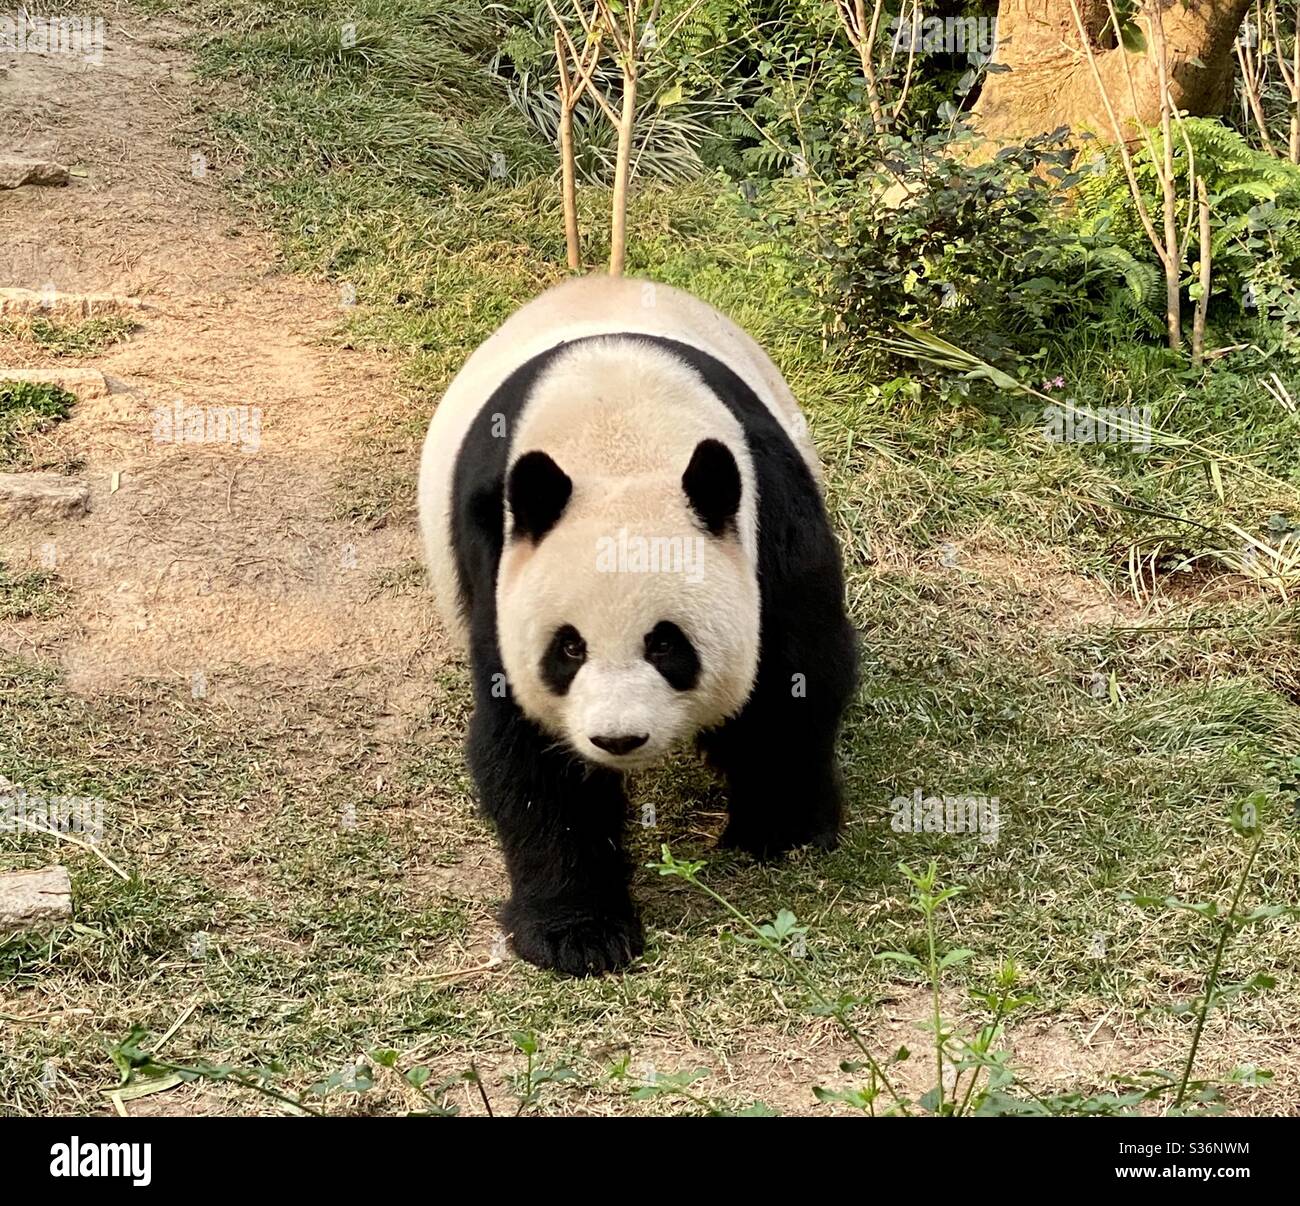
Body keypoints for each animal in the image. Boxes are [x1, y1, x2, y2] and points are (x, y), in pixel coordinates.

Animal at [418, 275, 857, 976]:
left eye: (666, 644)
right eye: (568, 649)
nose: (618, 739)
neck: (617, 432)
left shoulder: (770, 515)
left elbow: (795, 676)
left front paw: (781, 828)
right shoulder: (498, 557)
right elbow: (528, 750)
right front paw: (579, 935)